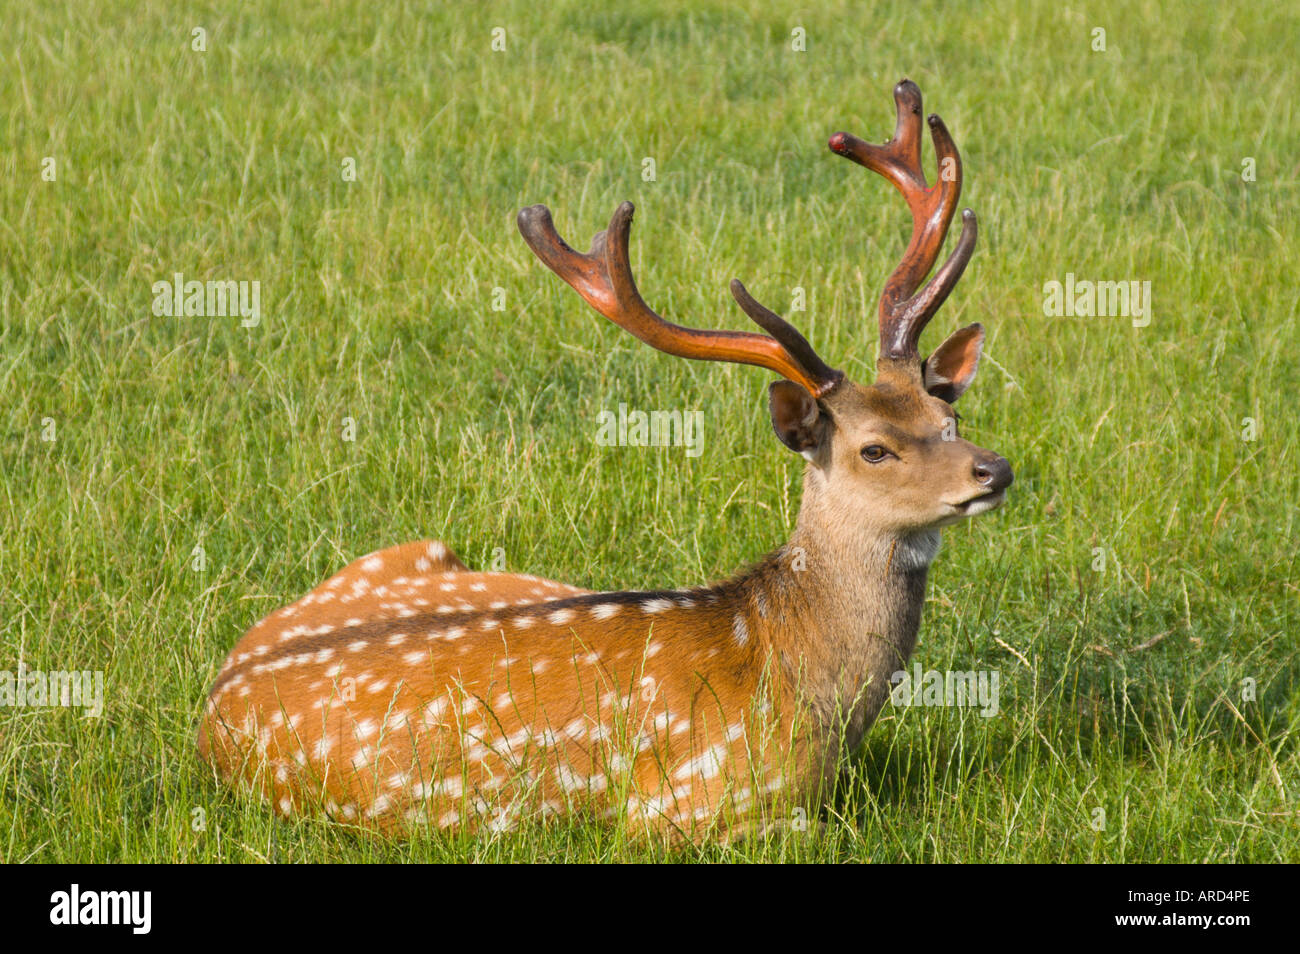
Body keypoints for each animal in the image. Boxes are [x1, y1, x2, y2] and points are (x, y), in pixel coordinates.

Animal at [197, 79, 1012, 842]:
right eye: (874, 448)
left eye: (949, 418)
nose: (994, 470)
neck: (797, 684)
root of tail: (212, 702)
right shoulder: (687, 805)